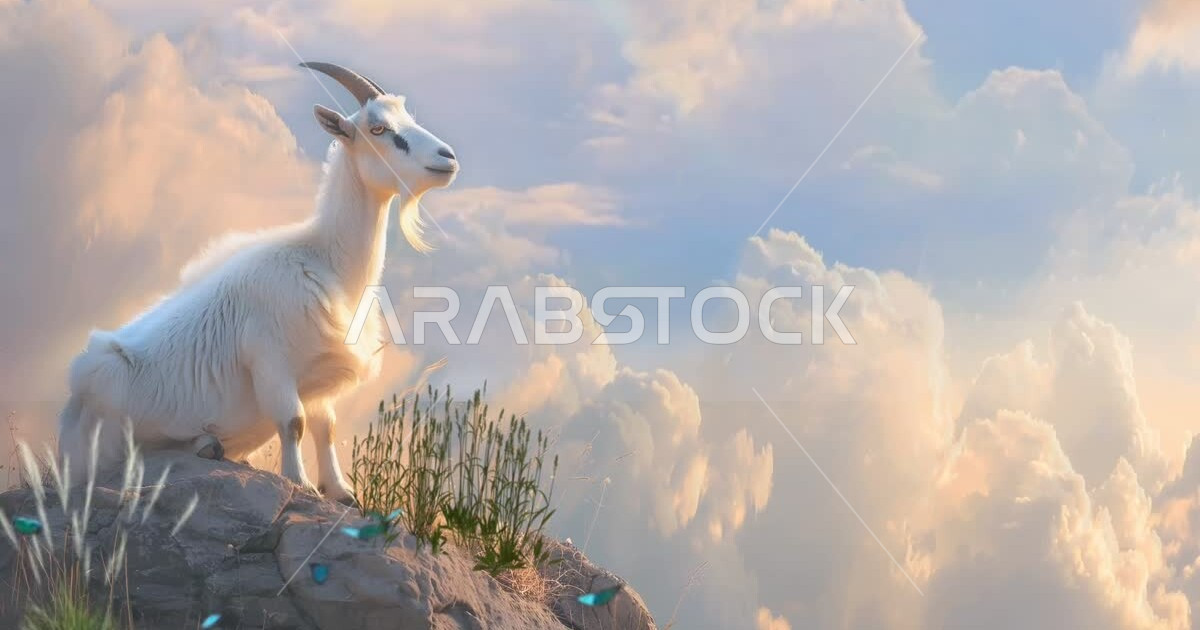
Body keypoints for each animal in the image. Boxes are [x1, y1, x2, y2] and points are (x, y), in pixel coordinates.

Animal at [57, 62, 458, 502]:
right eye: (378, 128)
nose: (447, 157)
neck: (324, 261)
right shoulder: (271, 359)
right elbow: (293, 423)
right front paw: (300, 483)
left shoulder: (317, 375)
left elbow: (325, 426)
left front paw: (341, 491)